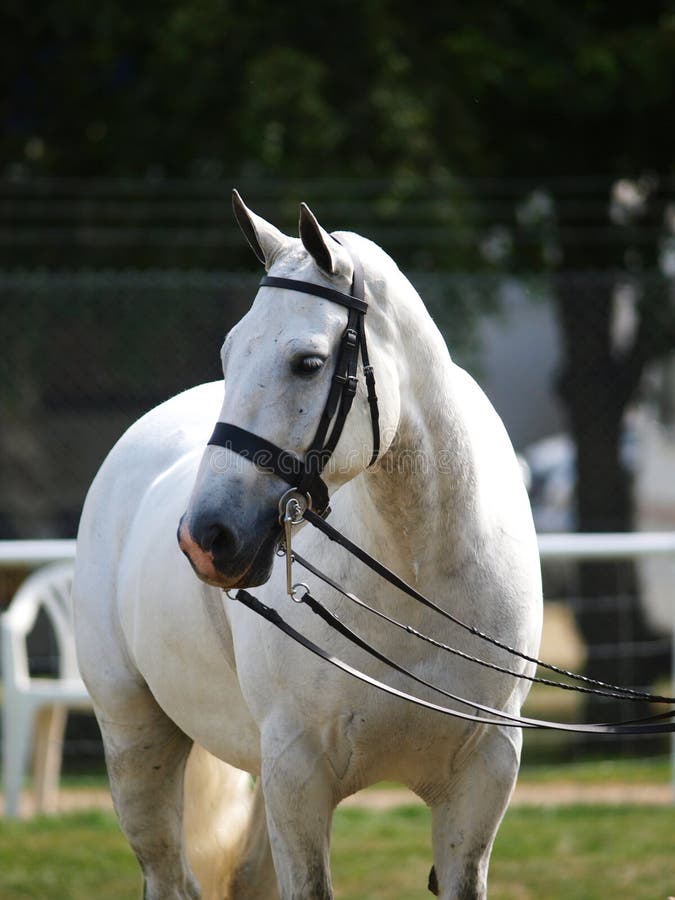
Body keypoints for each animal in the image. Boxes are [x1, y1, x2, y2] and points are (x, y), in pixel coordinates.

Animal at [73, 192, 543, 899]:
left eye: (309, 363)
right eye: (228, 354)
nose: (205, 538)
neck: (419, 578)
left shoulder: (481, 783)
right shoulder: (297, 777)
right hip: (137, 743)